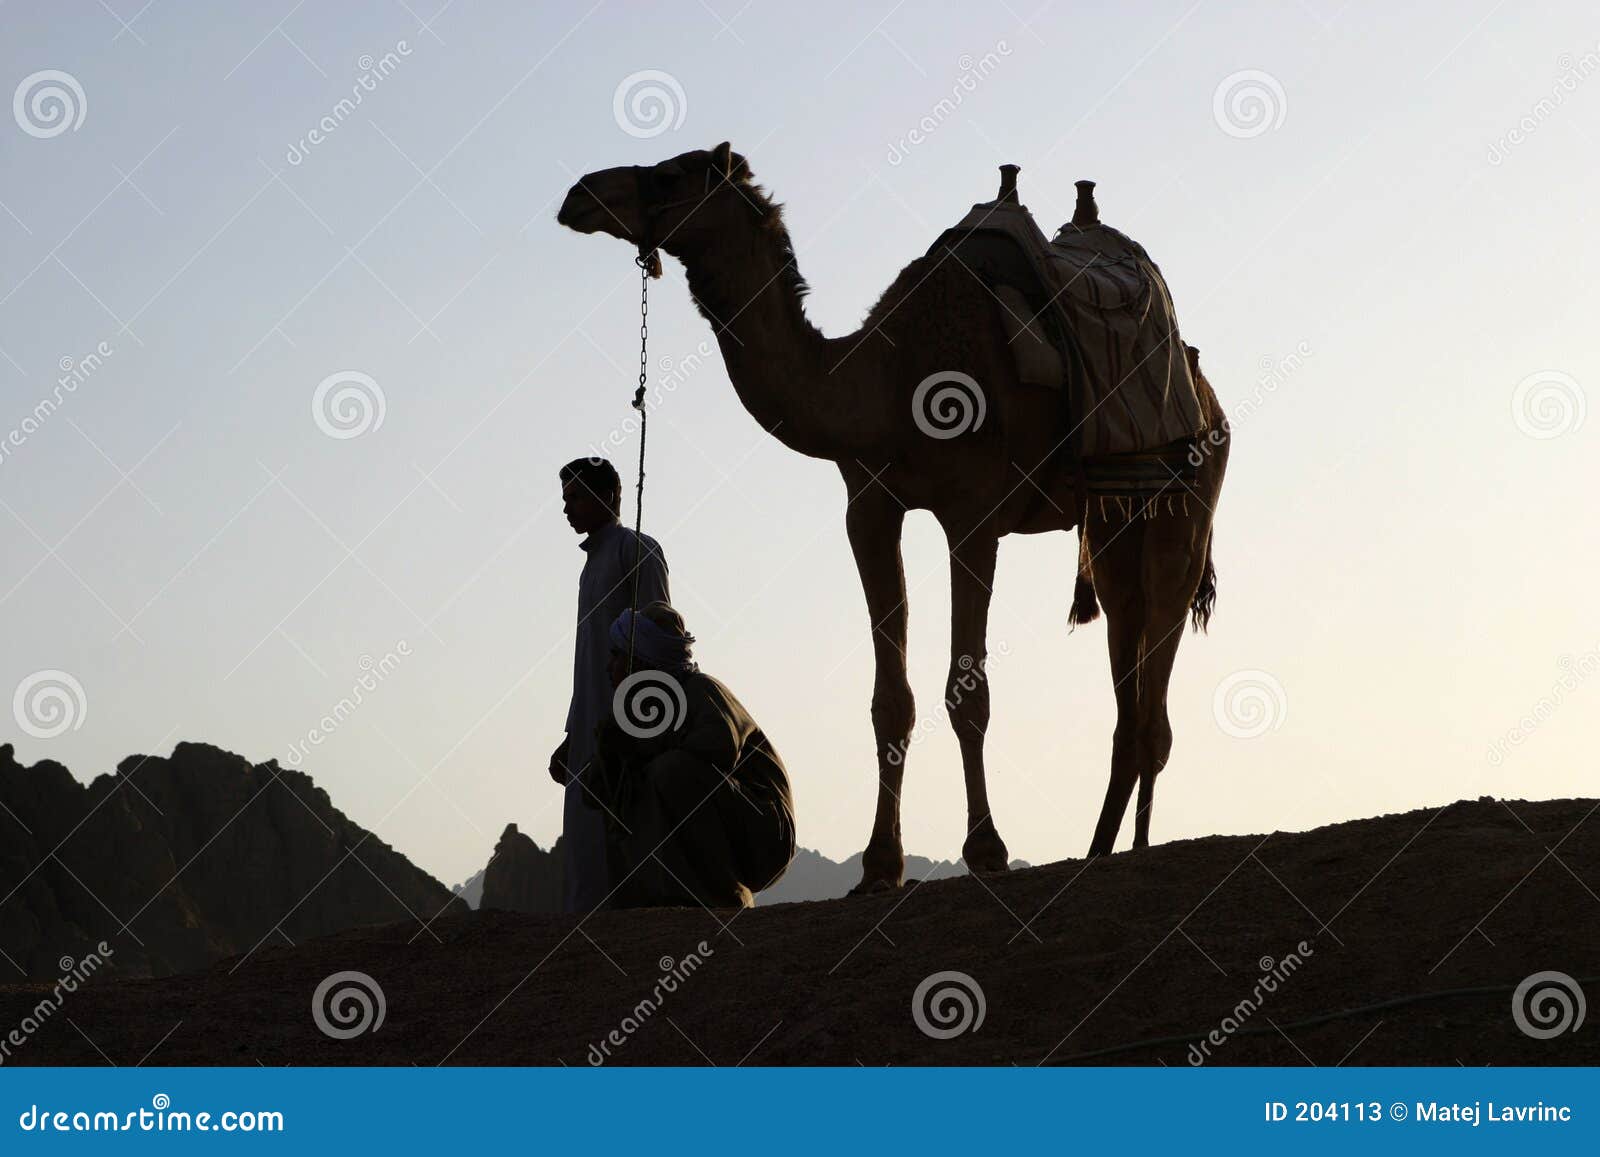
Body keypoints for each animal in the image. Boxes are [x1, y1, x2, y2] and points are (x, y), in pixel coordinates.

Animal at [558, 143, 1228, 893]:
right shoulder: (870, 507)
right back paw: (1099, 848)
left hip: (1187, 499)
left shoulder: (972, 514)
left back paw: (1135, 849)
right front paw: (880, 865)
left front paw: (987, 850)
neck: (886, 381)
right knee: (1125, 636)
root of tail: (1204, 388)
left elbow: (968, 692)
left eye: (674, 172)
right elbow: (890, 699)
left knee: (1158, 657)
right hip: (1112, 519)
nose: (579, 194)